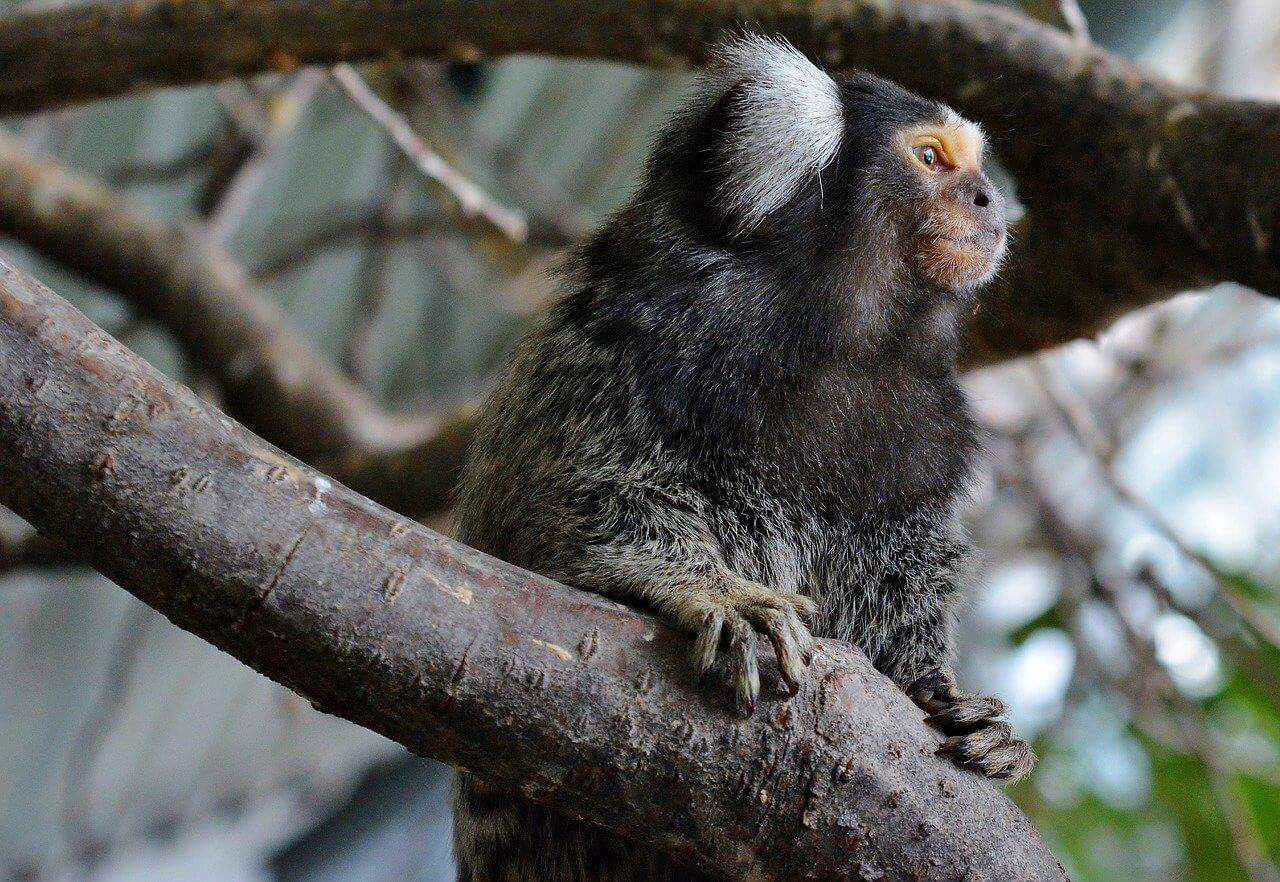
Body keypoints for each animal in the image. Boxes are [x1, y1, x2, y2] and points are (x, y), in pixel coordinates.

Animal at [452, 34, 1034, 881]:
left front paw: (949, 701)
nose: (990, 200)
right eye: (931, 159)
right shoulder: (630, 341)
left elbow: (899, 579)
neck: (835, 342)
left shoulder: (929, 440)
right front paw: (718, 594)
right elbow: (567, 513)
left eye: (978, 170)